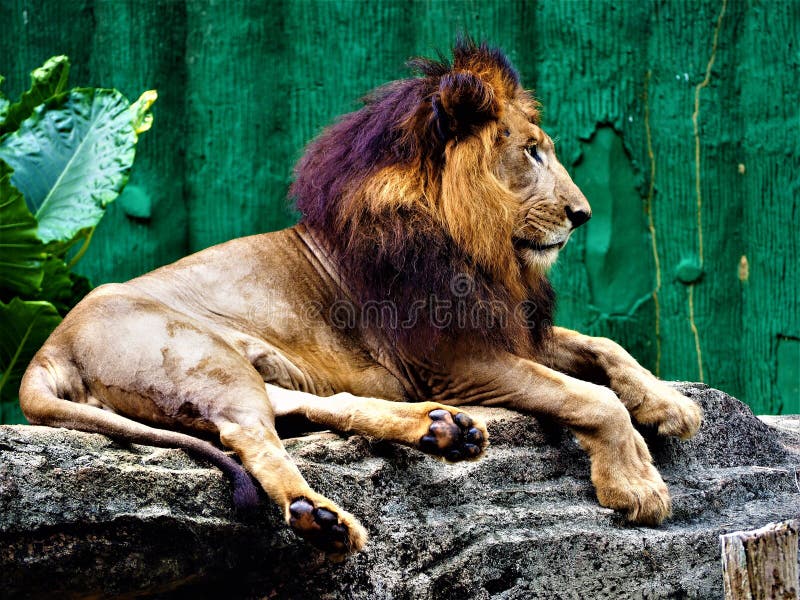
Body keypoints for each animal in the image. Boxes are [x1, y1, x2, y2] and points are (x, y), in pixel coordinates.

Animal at [19, 39, 702, 560]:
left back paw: (443, 431)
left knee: (307, 408)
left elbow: (602, 345)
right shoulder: (454, 359)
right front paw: (637, 484)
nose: (583, 215)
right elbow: (588, 397)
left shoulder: (495, 325)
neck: (475, 245)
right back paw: (320, 517)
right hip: (203, 360)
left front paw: (669, 406)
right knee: (251, 436)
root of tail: (48, 347)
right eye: (532, 152)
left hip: (245, 365)